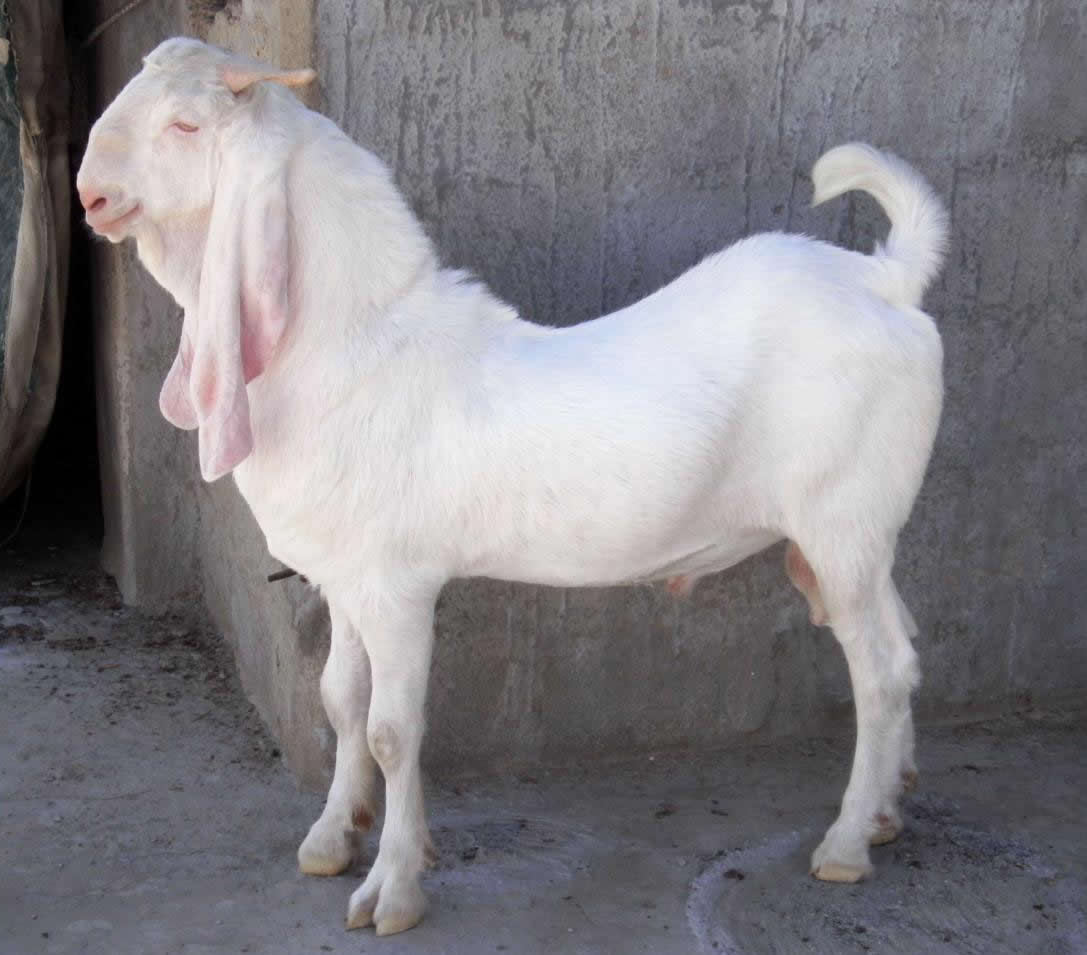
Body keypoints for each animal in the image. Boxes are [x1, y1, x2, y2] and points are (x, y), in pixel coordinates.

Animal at [78, 37, 948, 937]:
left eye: (185, 124)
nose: (90, 195)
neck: (357, 345)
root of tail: (887, 281)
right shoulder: (345, 576)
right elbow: (339, 699)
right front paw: (333, 834)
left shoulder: (397, 587)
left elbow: (392, 730)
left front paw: (393, 887)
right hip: (859, 537)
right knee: (902, 642)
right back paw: (888, 807)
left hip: (842, 522)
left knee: (879, 668)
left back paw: (846, 842)